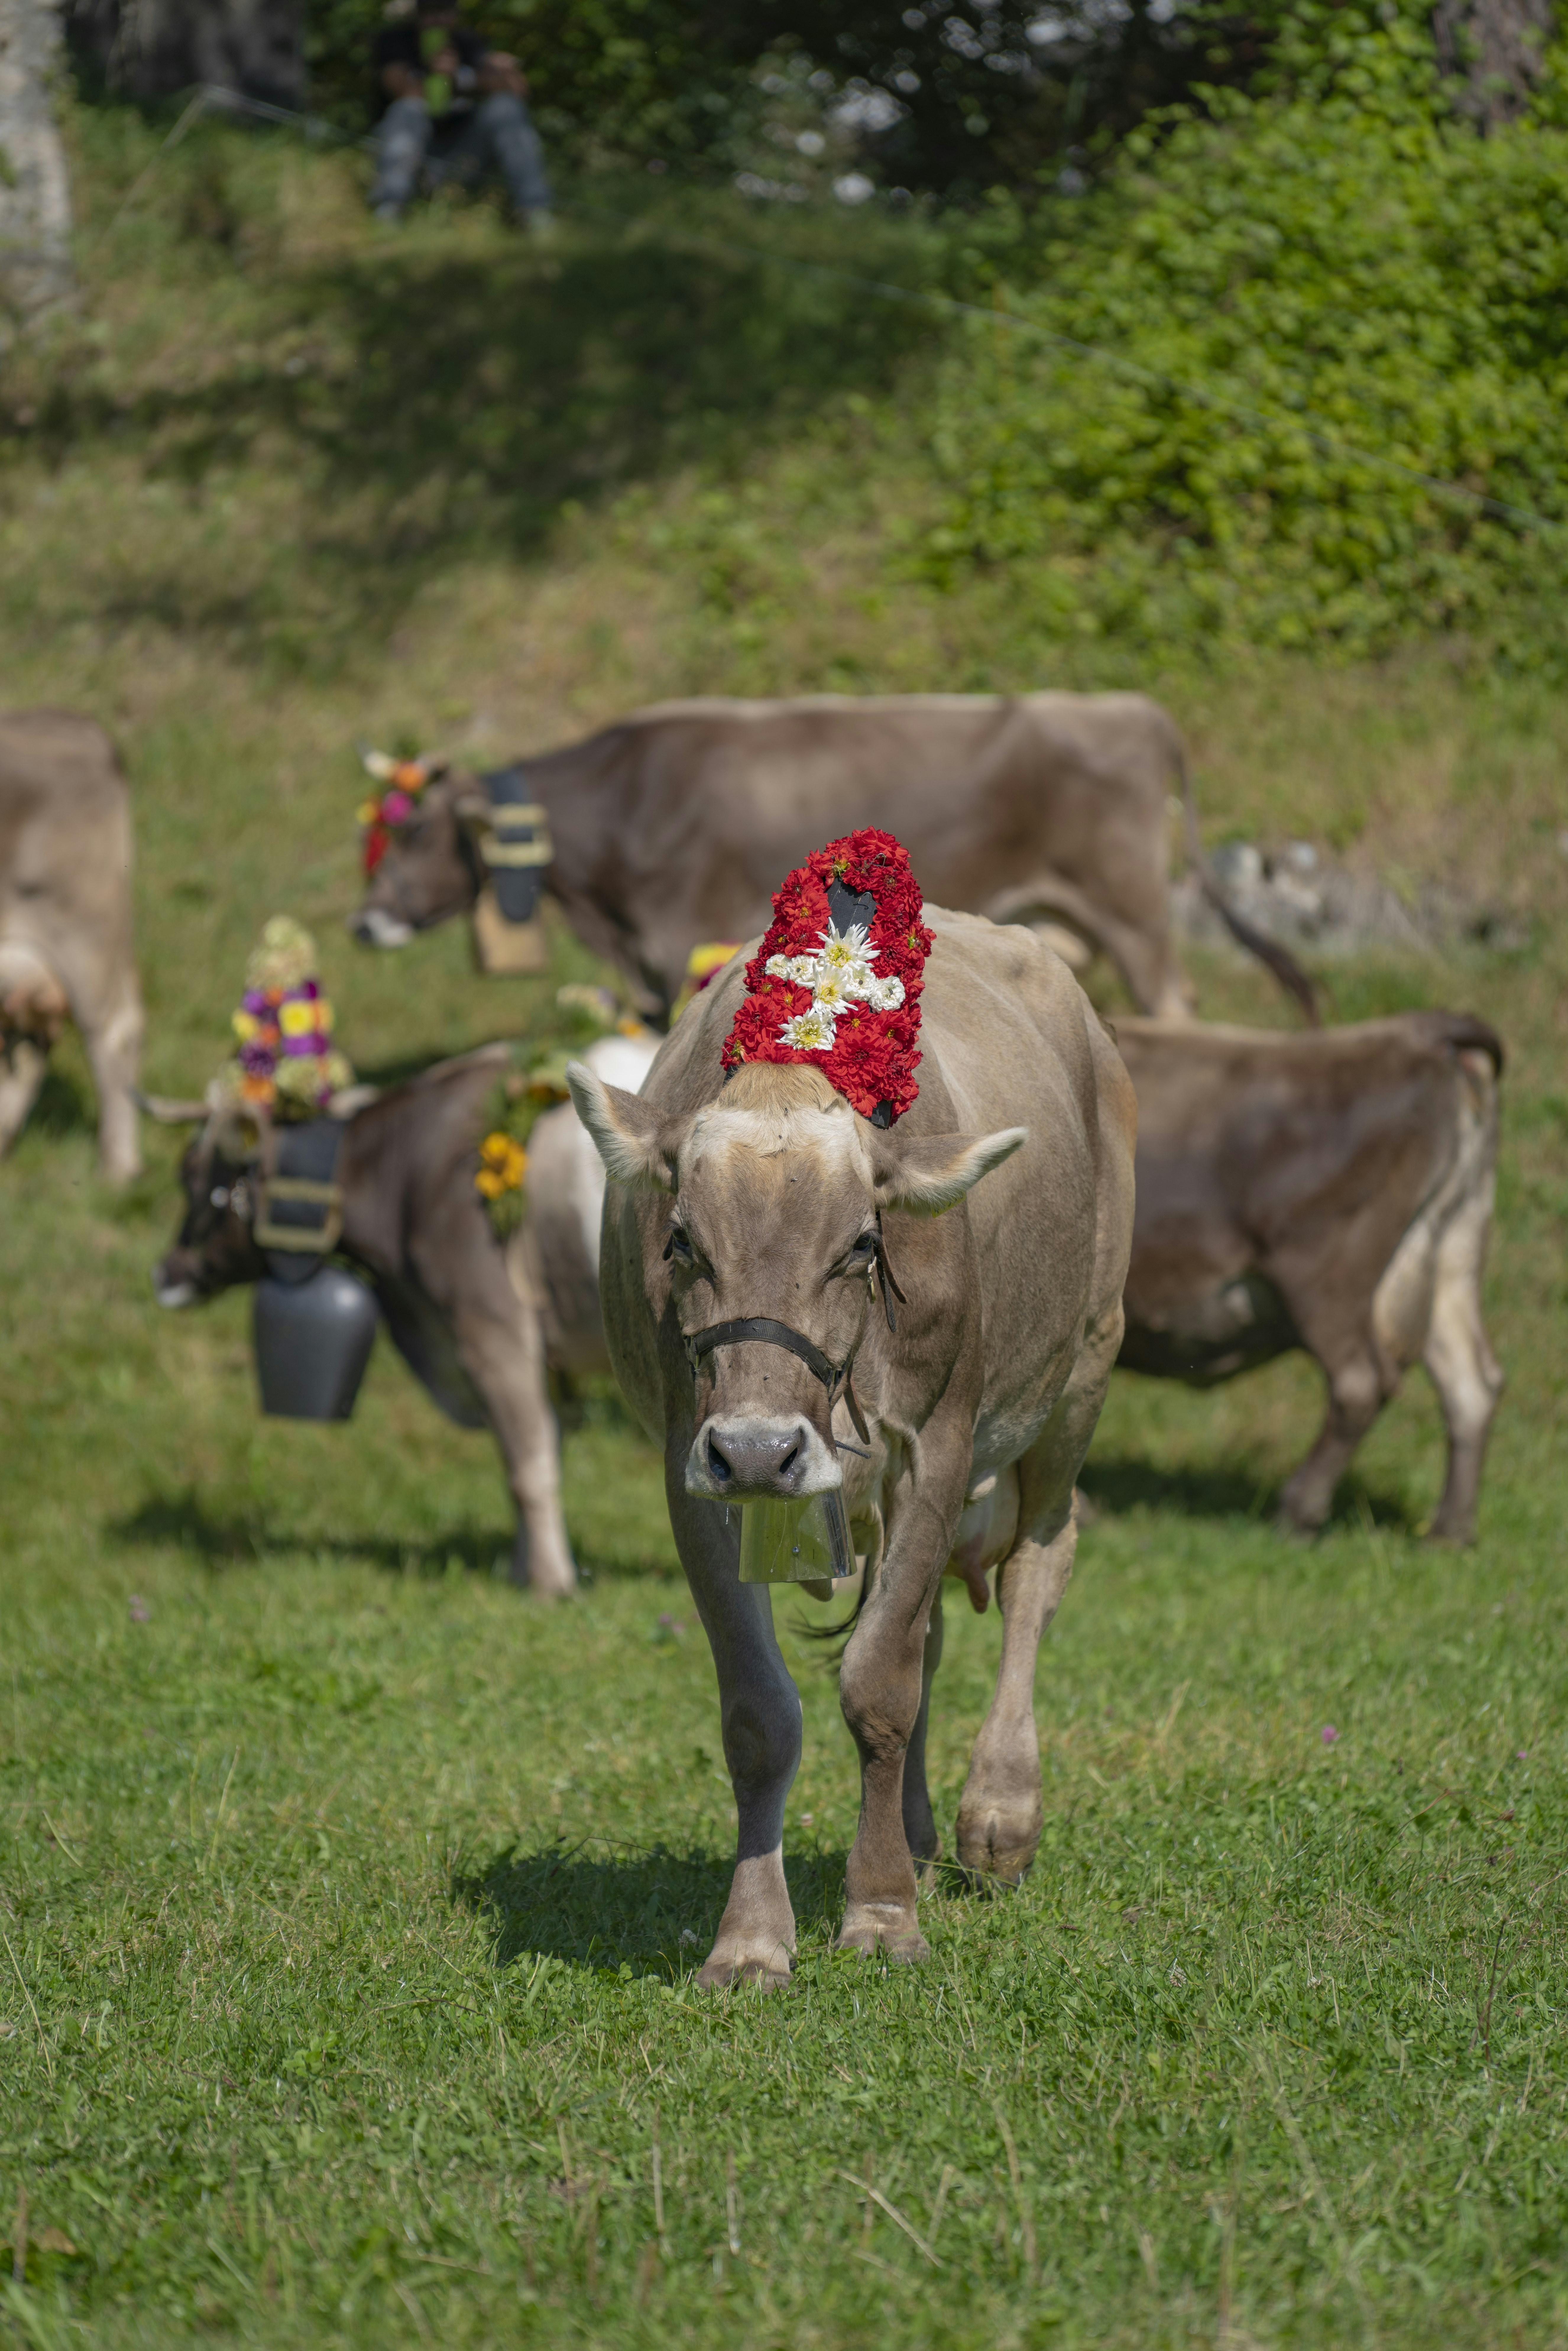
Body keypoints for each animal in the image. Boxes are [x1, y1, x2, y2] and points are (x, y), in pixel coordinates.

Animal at [150, 1030, 659, 1593]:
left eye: (191, 1173)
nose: (165, 1273)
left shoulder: (493, 1331)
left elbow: (529, 1467)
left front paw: (551, 1584)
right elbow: (543, 1450)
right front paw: (522, 1570)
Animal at [350, 693, 1314, 1026]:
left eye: (413, 834)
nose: (365, 922)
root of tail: (1130, 707)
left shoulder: (689, 938)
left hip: (1132, 903)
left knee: (1173, 1002)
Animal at [568, 907, 1137, 1987]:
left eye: (863, 1245)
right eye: (680, 1242)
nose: (760, 1451)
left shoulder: (939, 1447)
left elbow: (879, 1684)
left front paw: (879, 1914)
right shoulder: (691, 1462)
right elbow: (763, 1712)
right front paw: (752, 1936)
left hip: (1083, 1370)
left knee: (1037, 1570)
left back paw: (999, 1812)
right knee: (926, 1625)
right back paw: (915, 1830)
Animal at [1113, 1011, 1505, 1543]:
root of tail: (1415, 1032)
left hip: (1326, 1273)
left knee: (1360, 1383)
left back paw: (1296, 1513)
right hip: (1450, 1253)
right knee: (1470, 1385)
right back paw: (1449, 1532)